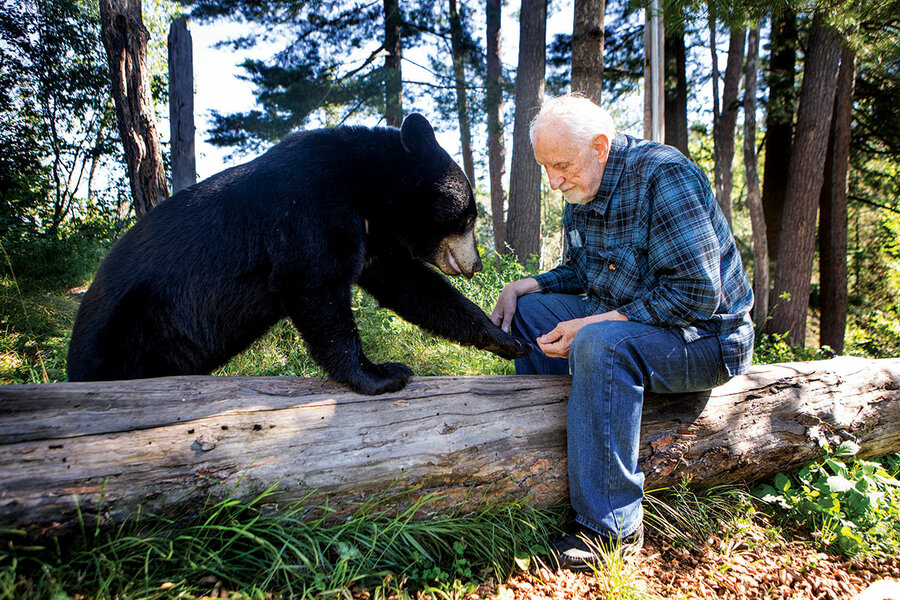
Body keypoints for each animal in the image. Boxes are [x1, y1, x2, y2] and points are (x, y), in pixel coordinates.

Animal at [66, 114, 531, 395]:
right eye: (468, 217)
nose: (477, 263)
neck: (369, 191)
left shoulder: (373, 237)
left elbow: (411, 286)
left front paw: (507, 340)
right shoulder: (309, 206)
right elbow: (316, 288)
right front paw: (381, 374)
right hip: (131, 329)